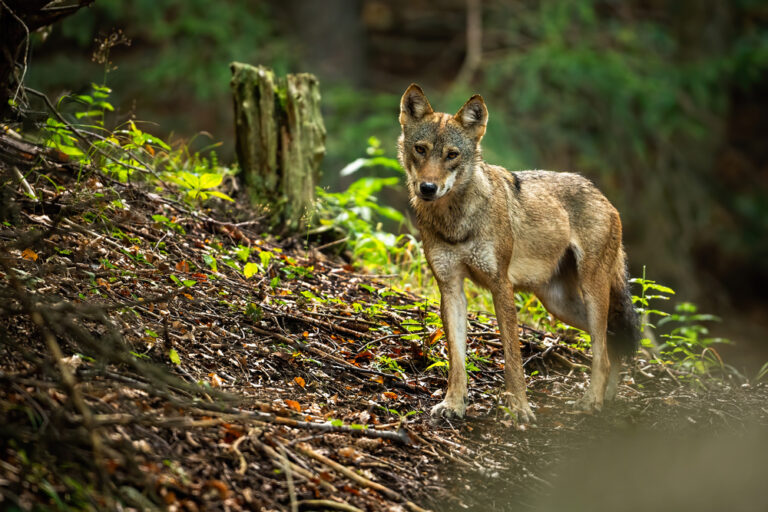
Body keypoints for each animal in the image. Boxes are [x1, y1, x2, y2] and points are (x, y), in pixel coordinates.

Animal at [397, 84, 640, 422]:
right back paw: (609, 400)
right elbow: (457, 359)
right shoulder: (450, 288)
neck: (456, 221)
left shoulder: (501, 285)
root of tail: (601, 194)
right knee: (610, 342)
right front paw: (454, 404)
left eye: (452, 155)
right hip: (560, 305)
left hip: (591, 293)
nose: (428, 188)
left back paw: (592, 401)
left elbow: (512, 356)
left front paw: (520, 410)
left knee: (602, 353)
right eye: (421, 149)